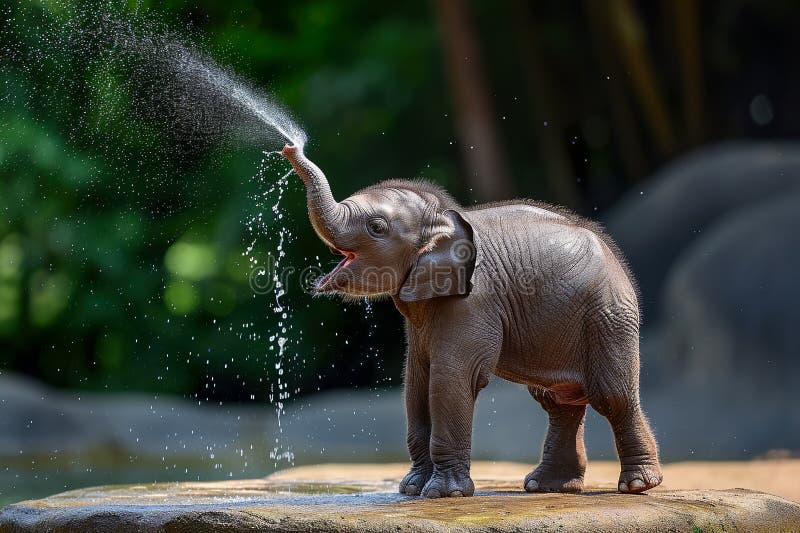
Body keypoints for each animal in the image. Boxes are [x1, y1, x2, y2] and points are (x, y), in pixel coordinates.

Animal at [281, 144, 662, 498]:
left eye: (376, 227)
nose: (289, 147)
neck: (445, 218)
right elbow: (416, 379)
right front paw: (412, 488)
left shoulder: (474, 303)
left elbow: (451, 377)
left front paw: (441, 494)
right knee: (558, 401)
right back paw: (546, 487)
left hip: (608, 315)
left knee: (610, 395)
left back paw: (637, 485)